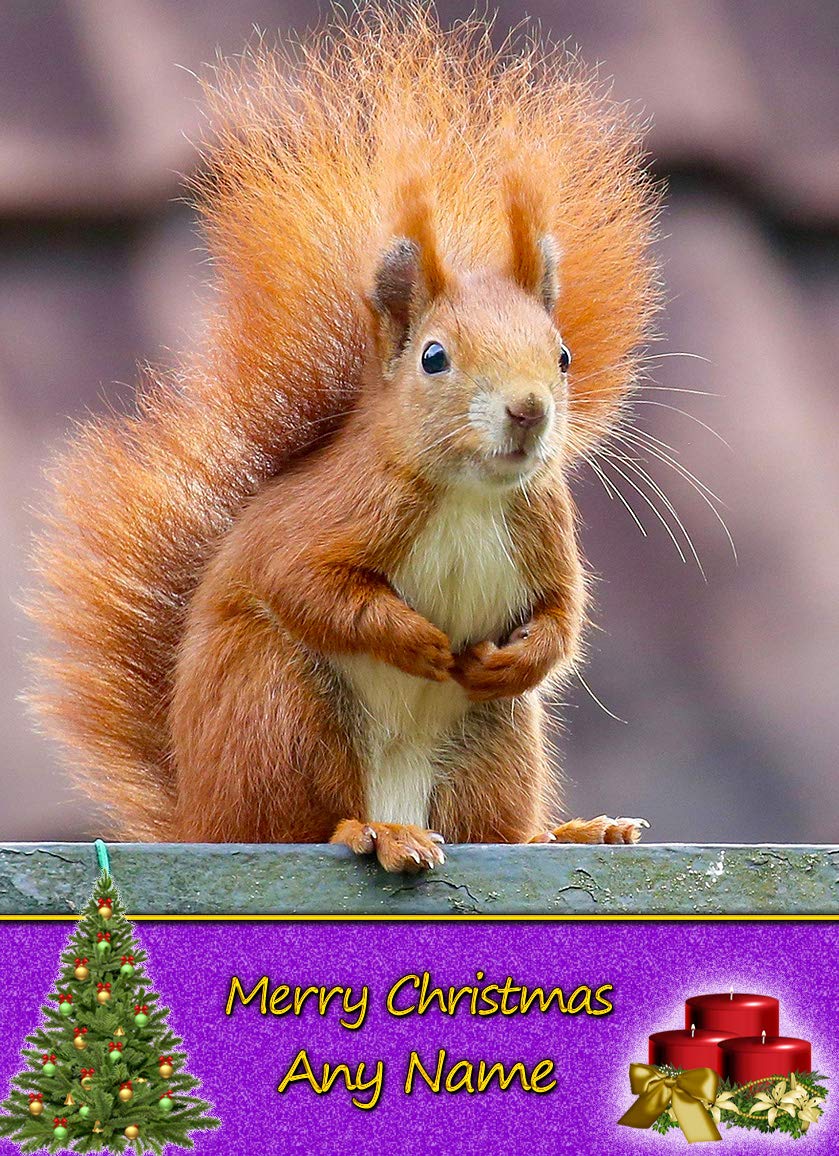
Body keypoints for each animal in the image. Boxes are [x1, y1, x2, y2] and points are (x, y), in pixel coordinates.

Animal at [28, 8, 660, 872]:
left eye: (561, 355)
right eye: (433, 357)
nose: (528, 410)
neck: (468, 495)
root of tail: (202, 815)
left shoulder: (542, 527)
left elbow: (563, 618)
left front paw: (513, 656)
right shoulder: (337, 512)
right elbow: (308, 584)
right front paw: (418, 641)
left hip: (491, 742)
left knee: (489, 829)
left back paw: (566, 832)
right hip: (278, 709)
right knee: (296, 823)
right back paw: (371, 833)